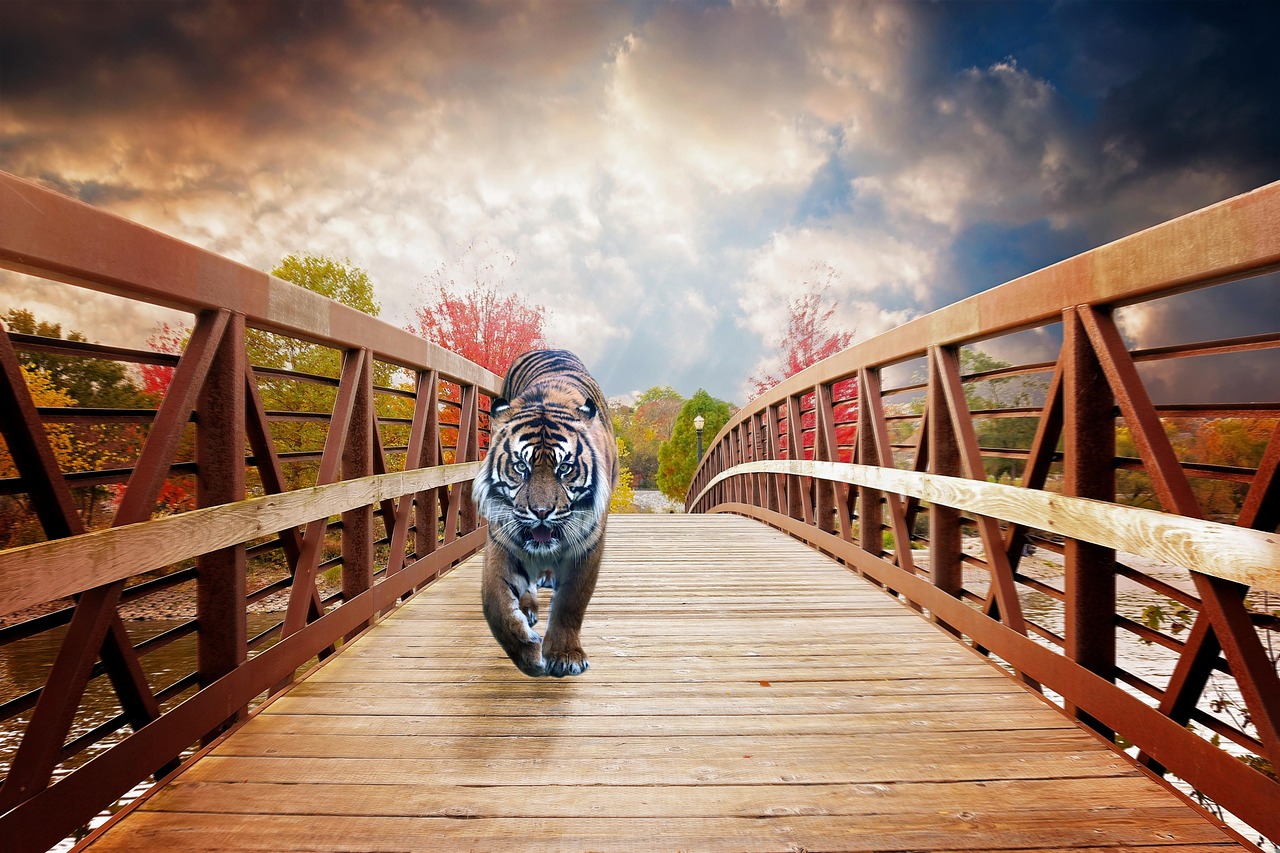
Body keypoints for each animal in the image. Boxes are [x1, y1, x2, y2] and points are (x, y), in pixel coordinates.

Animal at [472, 349, 618, 677]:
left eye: (564, 468)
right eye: (520, 467)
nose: (540, 512)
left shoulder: (588, 545)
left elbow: (570, 602)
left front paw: (565, 656)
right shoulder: (501, 539)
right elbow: (495, 604)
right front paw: (528, 654)